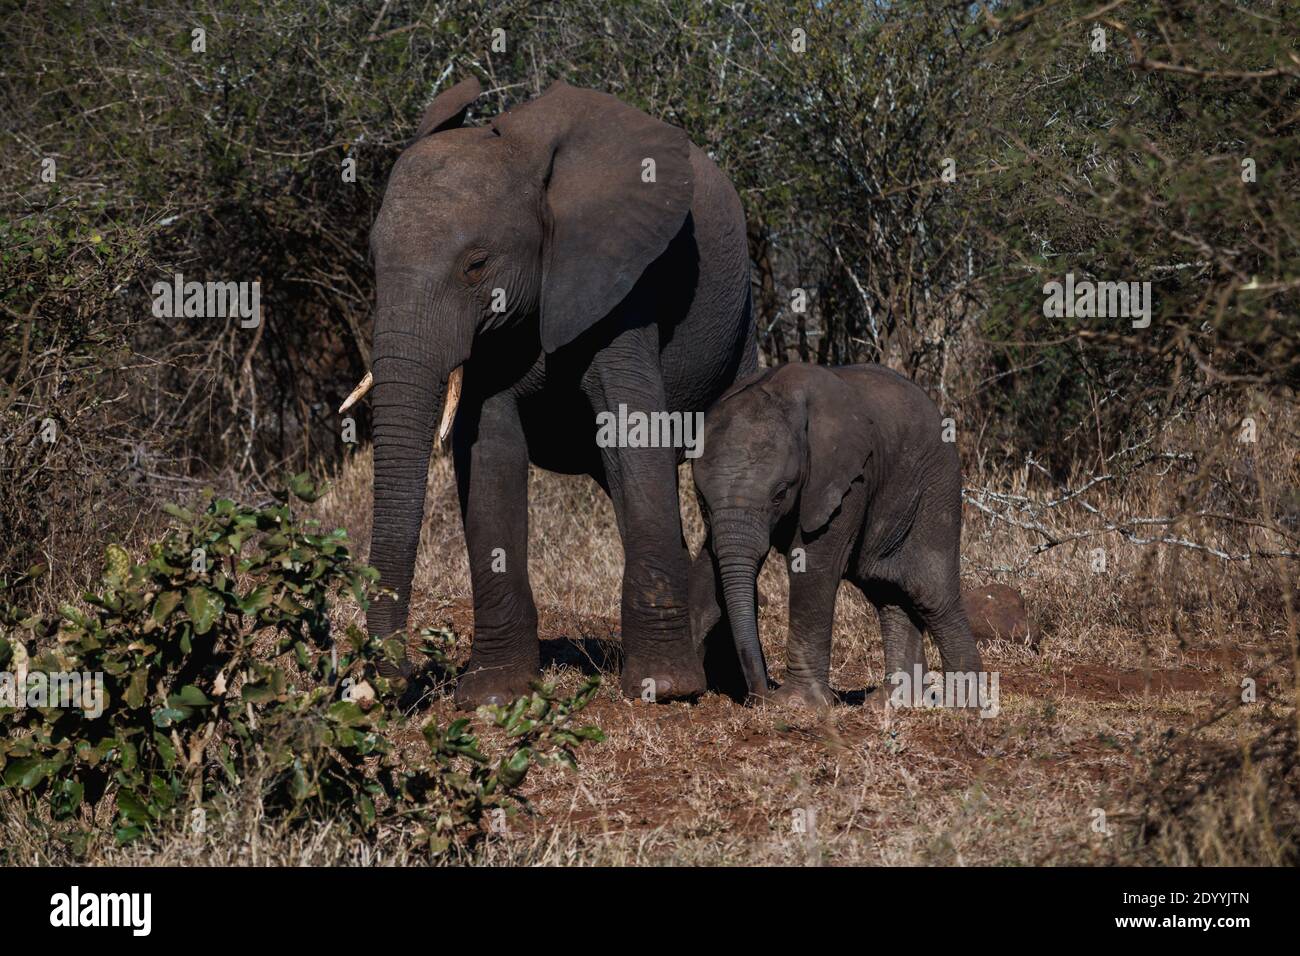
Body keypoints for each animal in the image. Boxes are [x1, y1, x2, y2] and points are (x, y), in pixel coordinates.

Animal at [343, 77, 756, 707]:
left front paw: (663, 690)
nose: (388, 684)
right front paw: (494, 697)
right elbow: (490, 453)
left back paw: (728, 681)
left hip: (741, 325)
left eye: (476, 264)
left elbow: (632, 428)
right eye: (372, 258)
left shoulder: (621, 280)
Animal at [689, 362, 983, 707]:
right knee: (886, 587)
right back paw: (892, 702)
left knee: (929, 591)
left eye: (779, 494)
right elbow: (710, 561)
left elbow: (814, 564)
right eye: (701, 499)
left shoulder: (848, 478)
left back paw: (964, 703)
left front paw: (796, 703)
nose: (760, 696)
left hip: (937, 485)